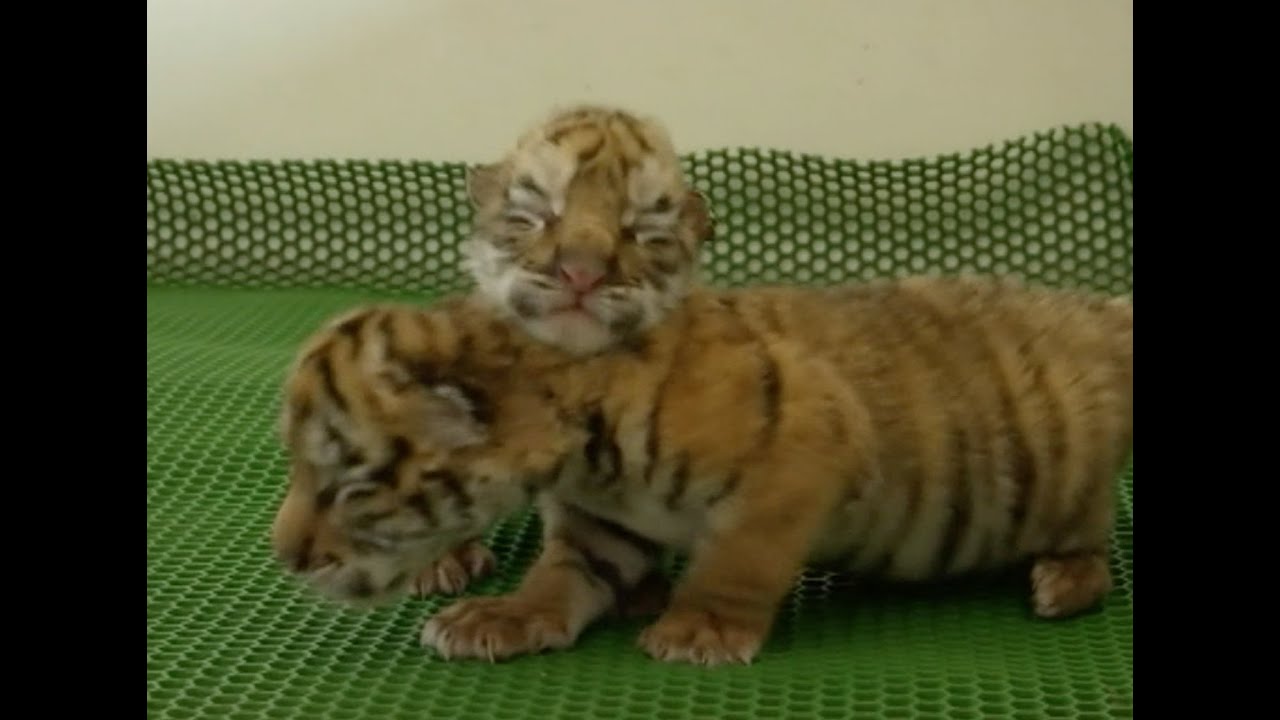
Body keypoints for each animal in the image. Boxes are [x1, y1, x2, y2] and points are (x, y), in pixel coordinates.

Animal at [270, 274, 1133, 666]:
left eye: (348, 485)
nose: (285, 558)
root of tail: (1092, 310)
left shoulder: (802, 454)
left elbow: (738, 559)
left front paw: (699, 629)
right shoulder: (600, 518)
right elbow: (565, 573)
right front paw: (506, 616)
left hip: (1071, 483)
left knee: (1092, 542)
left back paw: (1063, 583)